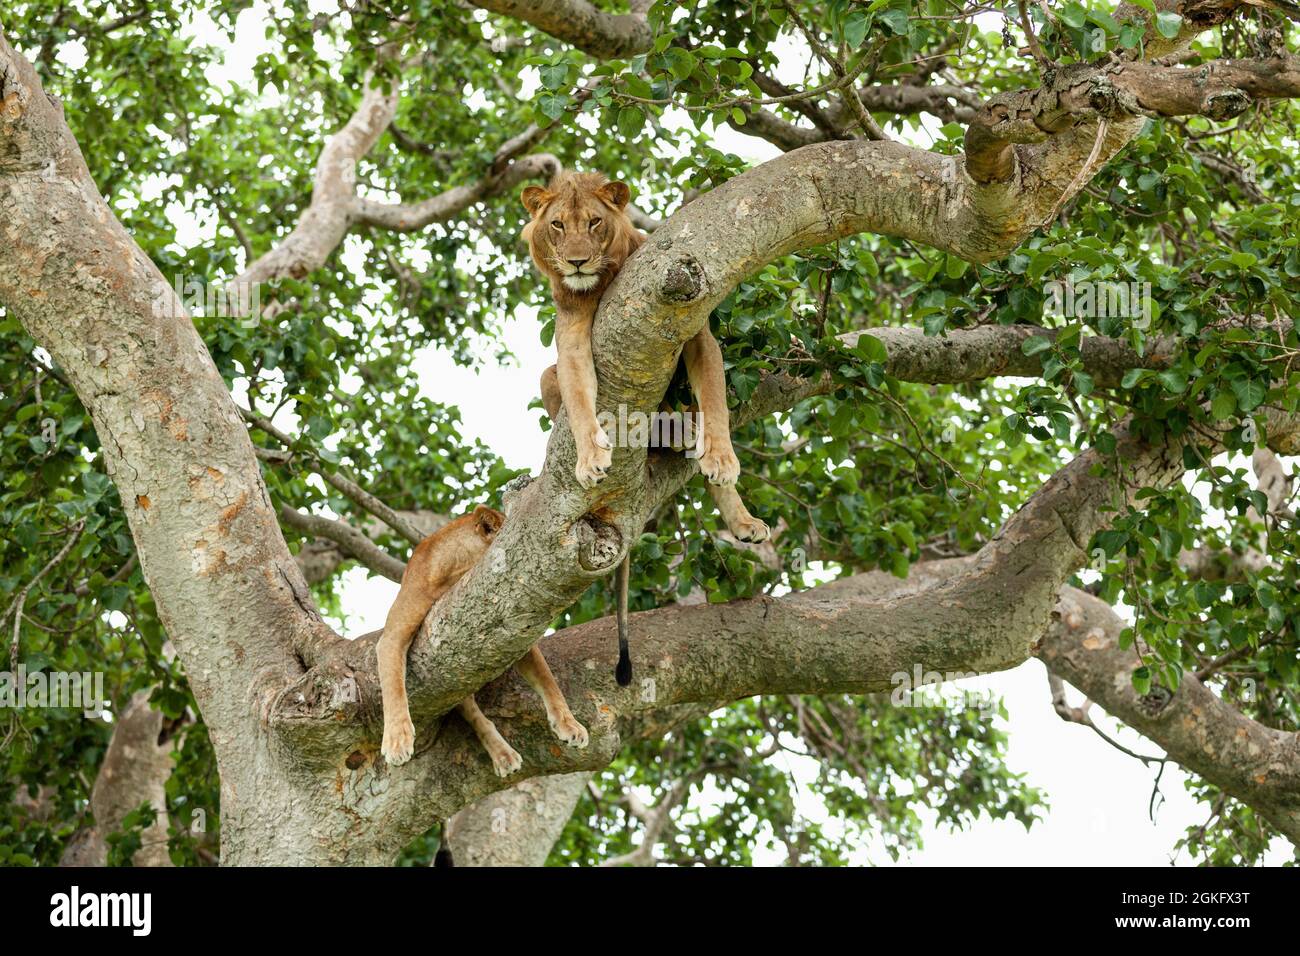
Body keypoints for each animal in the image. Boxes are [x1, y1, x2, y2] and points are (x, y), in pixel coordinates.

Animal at [377, 505, 588, 774]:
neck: (455, 572)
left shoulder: (516, 636)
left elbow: (548, 680)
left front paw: (570, 725)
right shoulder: (392, 637)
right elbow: (394, 688)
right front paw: (397, 742)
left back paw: (504, 755)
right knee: (475, 715)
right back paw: (502, 755)